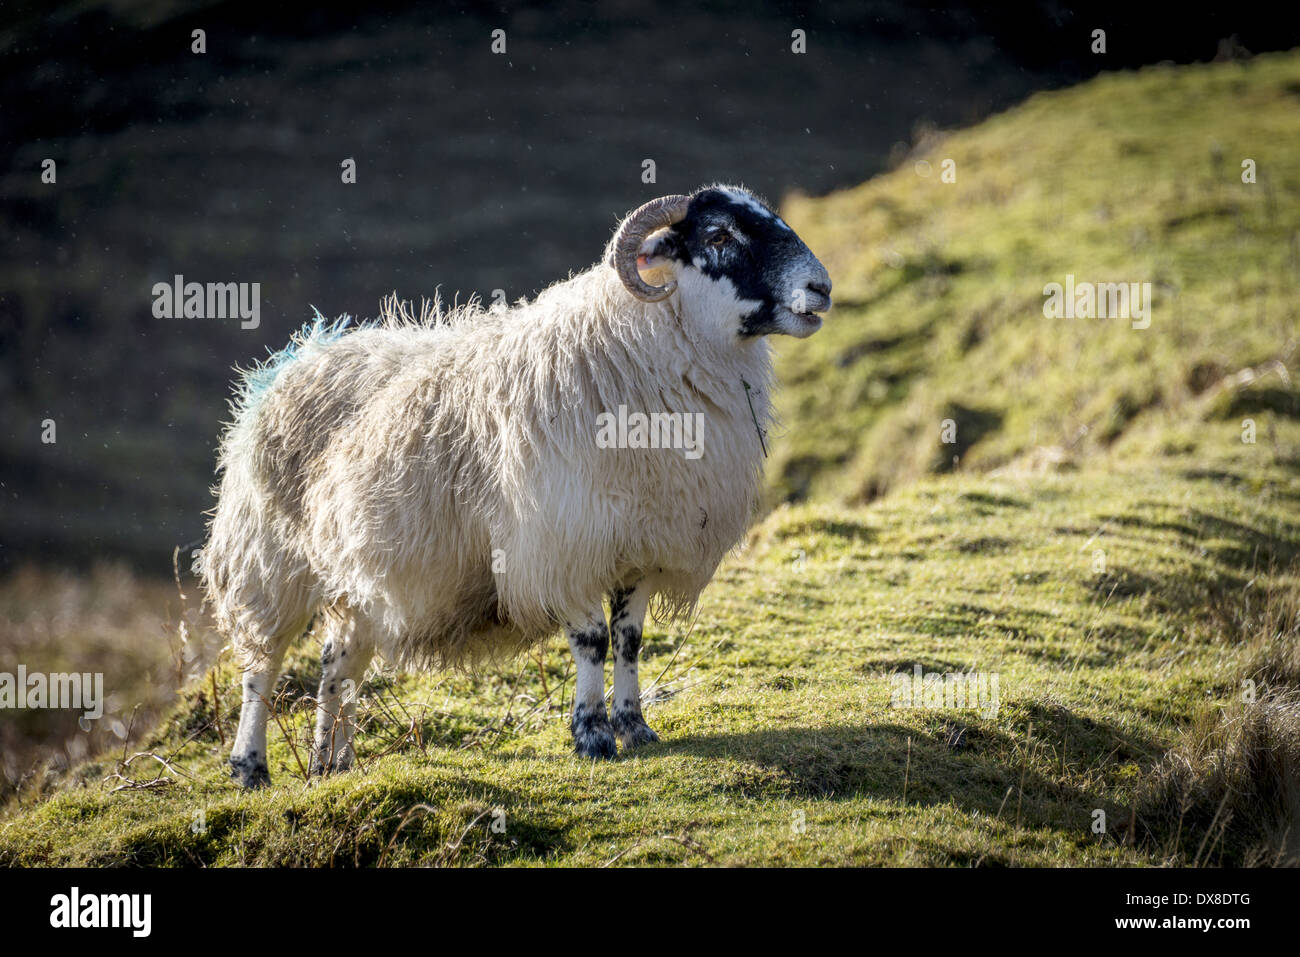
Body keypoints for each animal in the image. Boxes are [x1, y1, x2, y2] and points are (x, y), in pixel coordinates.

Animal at [200, 184, 832, 787]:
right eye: (721, 235)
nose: (821, 288)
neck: (638, 349)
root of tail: (295, 358)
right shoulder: (564, 545)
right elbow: (592, 640)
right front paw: (592, 736)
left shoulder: (640, 546)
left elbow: (628, 639)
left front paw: (635, 728)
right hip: (268, 562)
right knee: (261, 669)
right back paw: (251, 769)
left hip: (359, 581)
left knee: (337, 666)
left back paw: (331, 765)